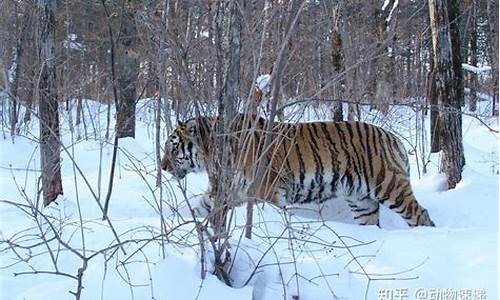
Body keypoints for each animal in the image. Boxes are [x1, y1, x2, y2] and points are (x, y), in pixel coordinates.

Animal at [161, 113, 434, 226]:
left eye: (172, 146)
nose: (162, 166)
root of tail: (393, 138)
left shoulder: (266, 191)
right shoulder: (228, 190)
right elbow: (200, 206)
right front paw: (174, 218)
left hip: (389, 185)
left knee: (421, 214)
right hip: (361, 200)